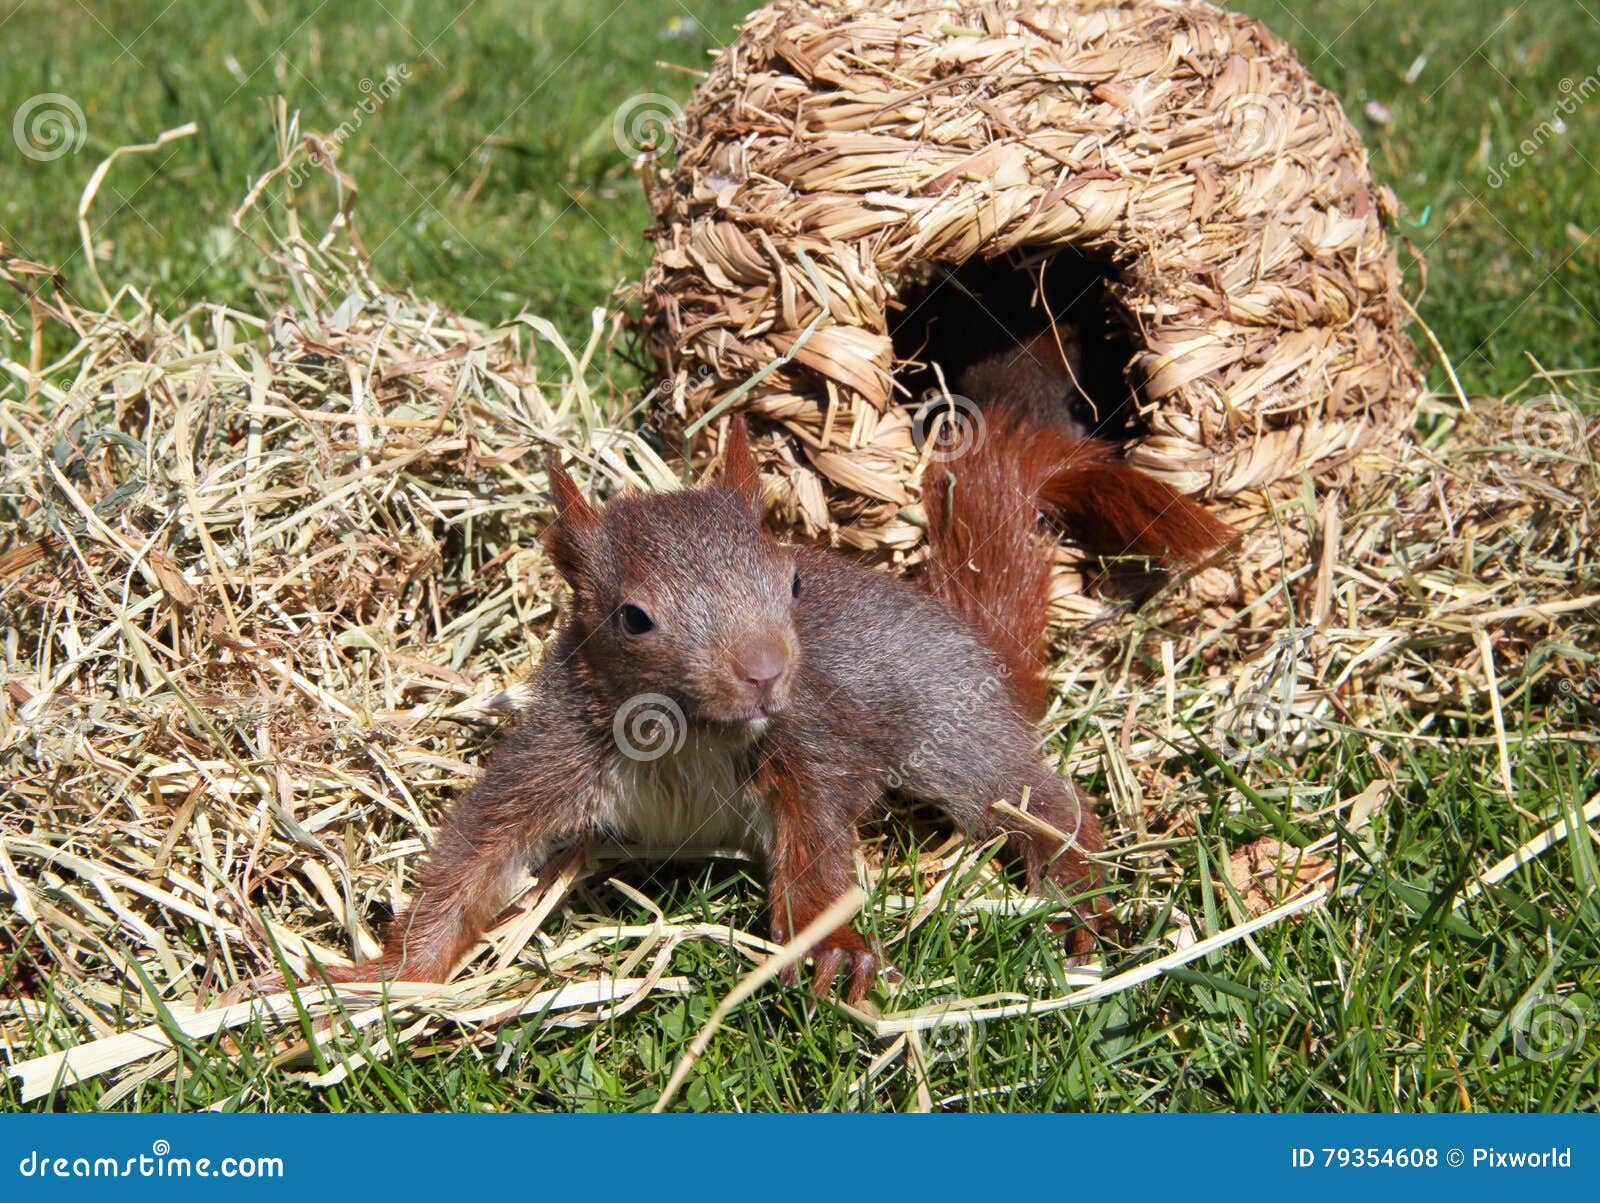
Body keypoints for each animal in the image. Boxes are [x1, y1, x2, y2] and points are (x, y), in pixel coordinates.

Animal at [228, 329, 1232, 1006]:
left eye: (790, 580)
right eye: (634, 617)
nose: (765, 670)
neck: (689, 738)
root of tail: (970, 636)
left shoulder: (804, 759)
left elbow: (818, 860)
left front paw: (832, 948)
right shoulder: (551, 760)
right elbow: (472, 859)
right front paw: (382, 975)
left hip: (952, 729)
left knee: (1044, 803)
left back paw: (1077, 900)